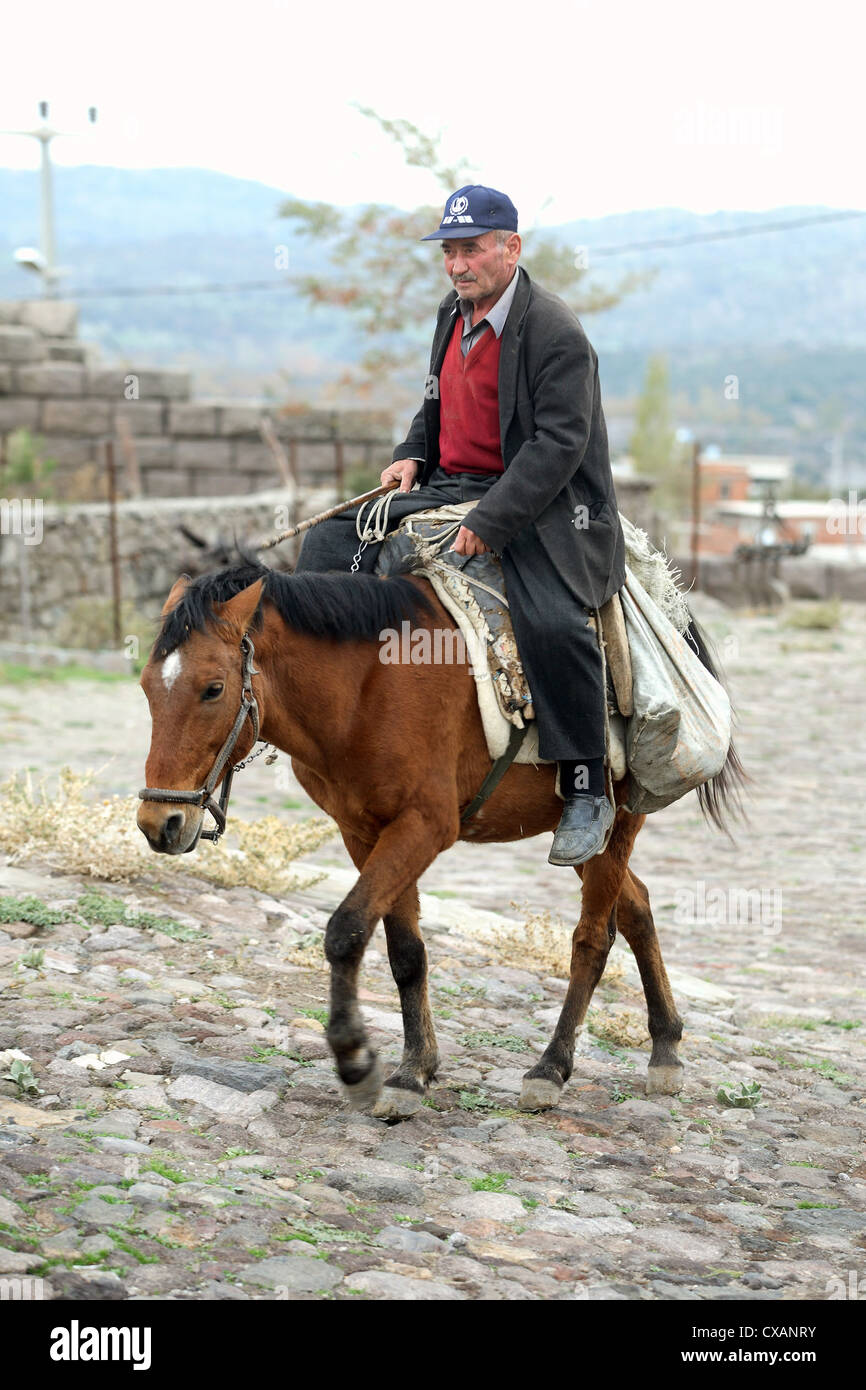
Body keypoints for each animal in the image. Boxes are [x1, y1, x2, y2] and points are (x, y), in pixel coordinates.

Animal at [136, 558, 744, 1121]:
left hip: (615, 824)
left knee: (593, 939)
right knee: (637, 905)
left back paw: (551, 1067)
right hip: (580, 837)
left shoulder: (423, 827)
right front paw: (414, 1070)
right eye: (146, 688)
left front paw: (355, 1060)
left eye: (213, 688)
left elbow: (346, 930)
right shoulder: (365, 832)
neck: (368, 687)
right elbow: (405, 951)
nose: (157, 823)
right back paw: (665, 1047)